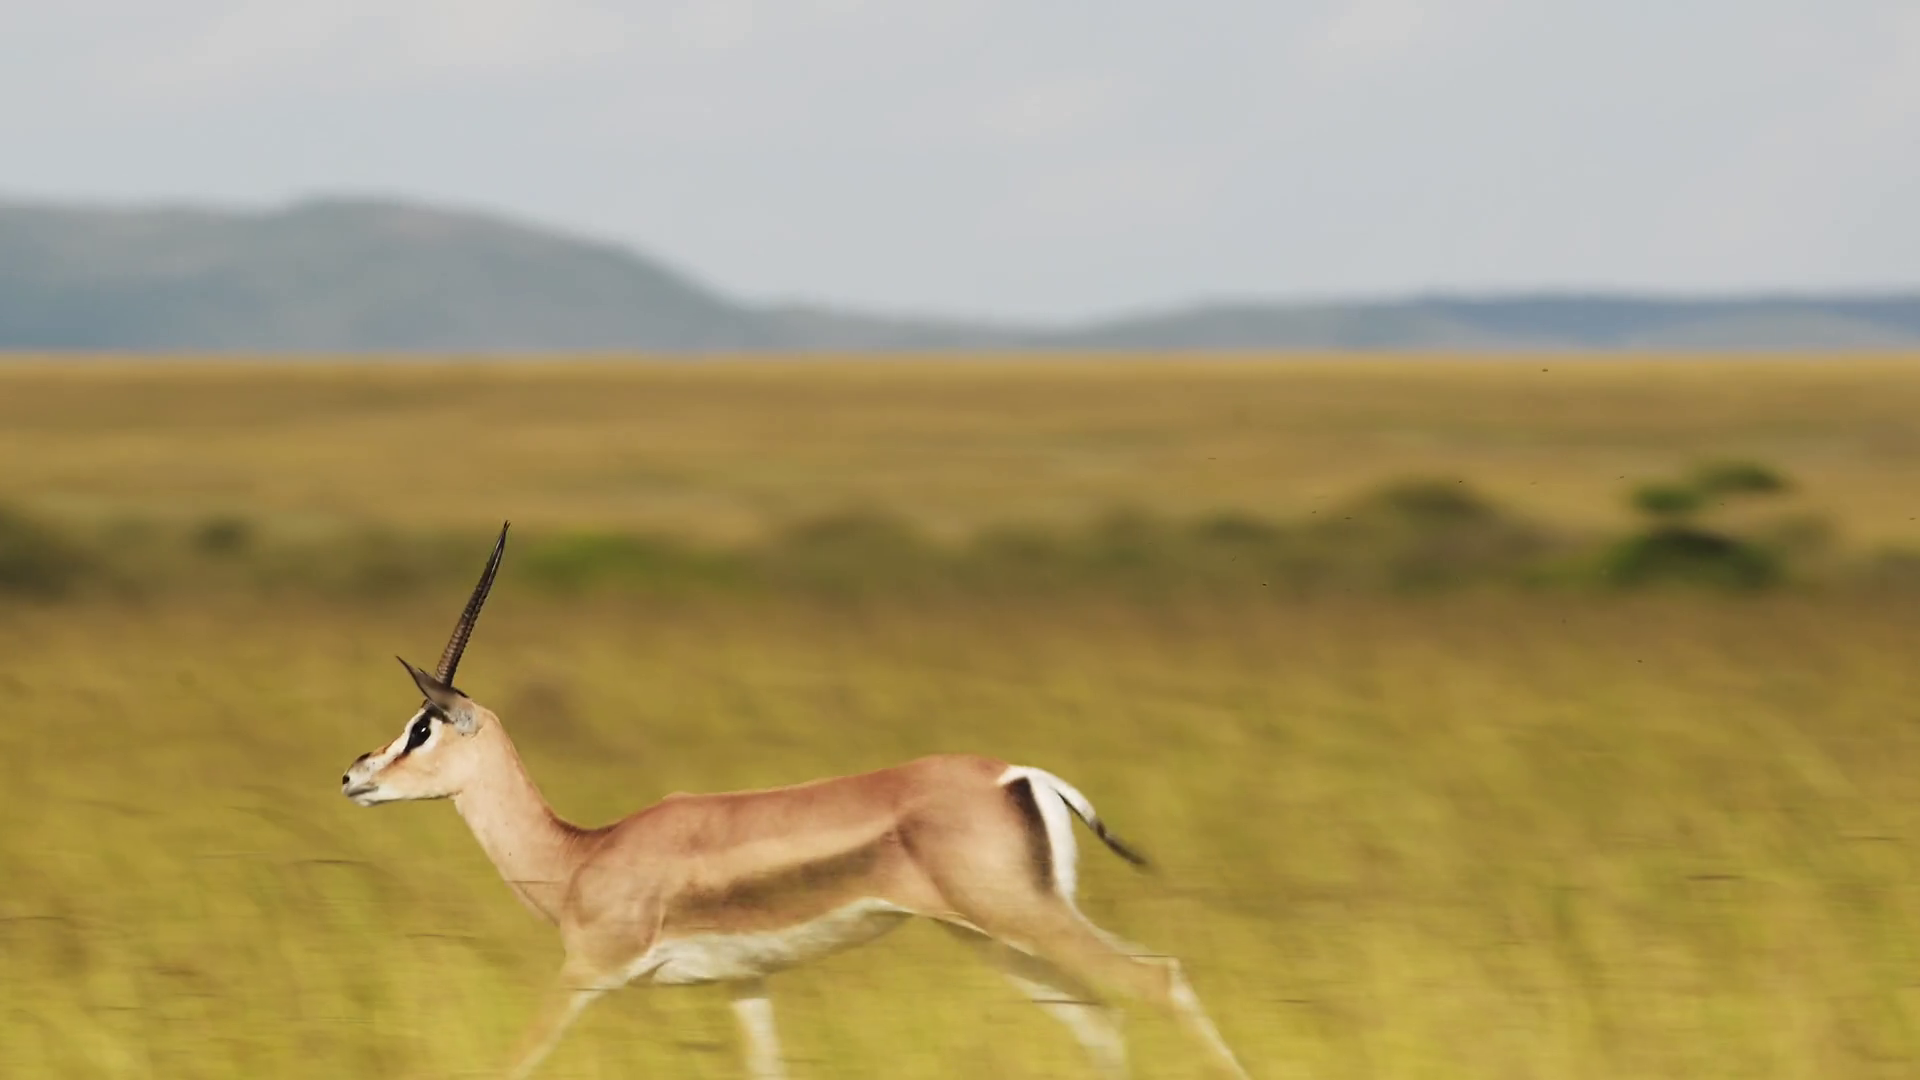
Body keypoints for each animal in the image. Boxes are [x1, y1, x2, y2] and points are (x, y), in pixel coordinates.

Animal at [341, 523, 1254, 1080]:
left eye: (421, 727)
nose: (355, 776)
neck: (580, 856)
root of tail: (1019, 774)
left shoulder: (586, 973)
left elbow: (514, 1058)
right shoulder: (747, 984)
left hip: (1022, 921)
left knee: (1159, 981)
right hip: (996, 937)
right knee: (1101, 1016)